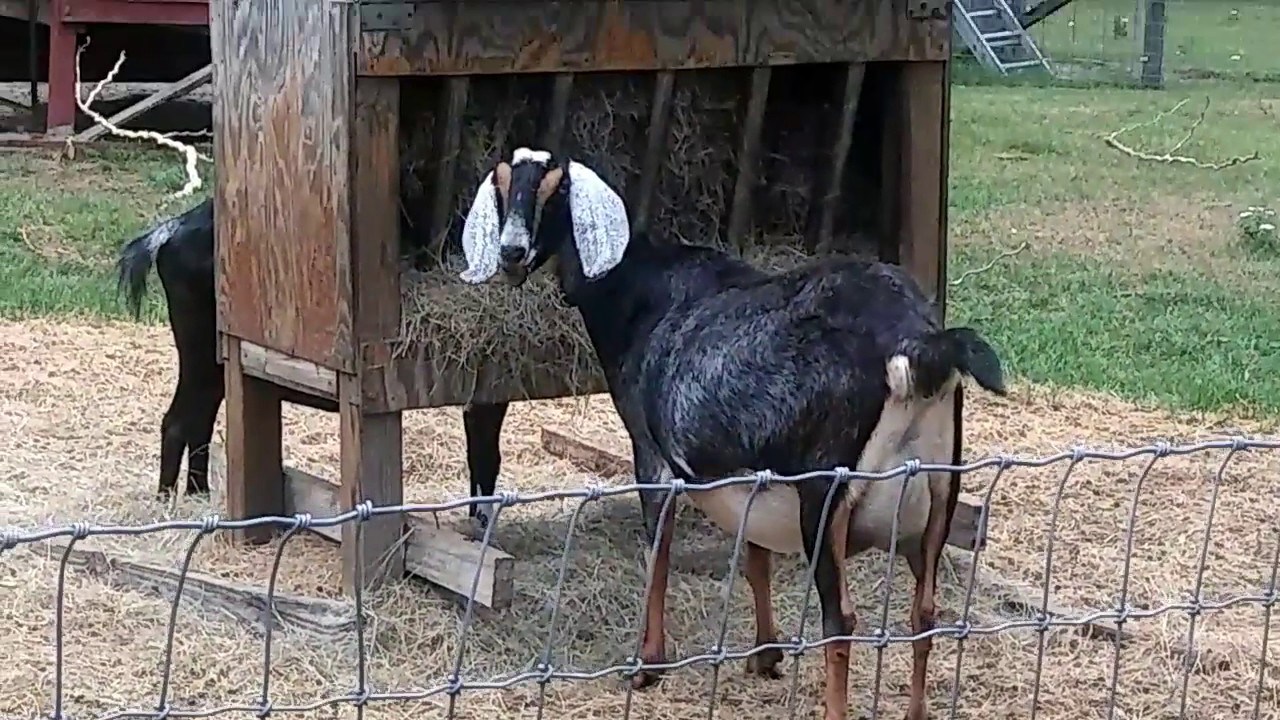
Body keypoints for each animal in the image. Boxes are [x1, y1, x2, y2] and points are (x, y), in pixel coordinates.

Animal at [115, 198, 511, 527]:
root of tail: (169, 232)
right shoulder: (486, 390)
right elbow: (485, 455)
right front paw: (480, 523)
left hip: (212, 364)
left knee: (198, 422)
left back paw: (199, 497)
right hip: (198, 352)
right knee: (177, 422)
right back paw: (168, 505)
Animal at [455, 147, 1007, 720]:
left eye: (556, 189)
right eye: (502, 187)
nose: (512, 252)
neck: (641, 292)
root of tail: (917, 341)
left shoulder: (651, 453)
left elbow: (659, 551)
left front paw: (647, 665)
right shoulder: (751, 476)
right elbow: (754, 556)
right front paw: (765, 654)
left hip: (825, 494)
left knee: (841, 620)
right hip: (941, 490)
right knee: (925, 612)